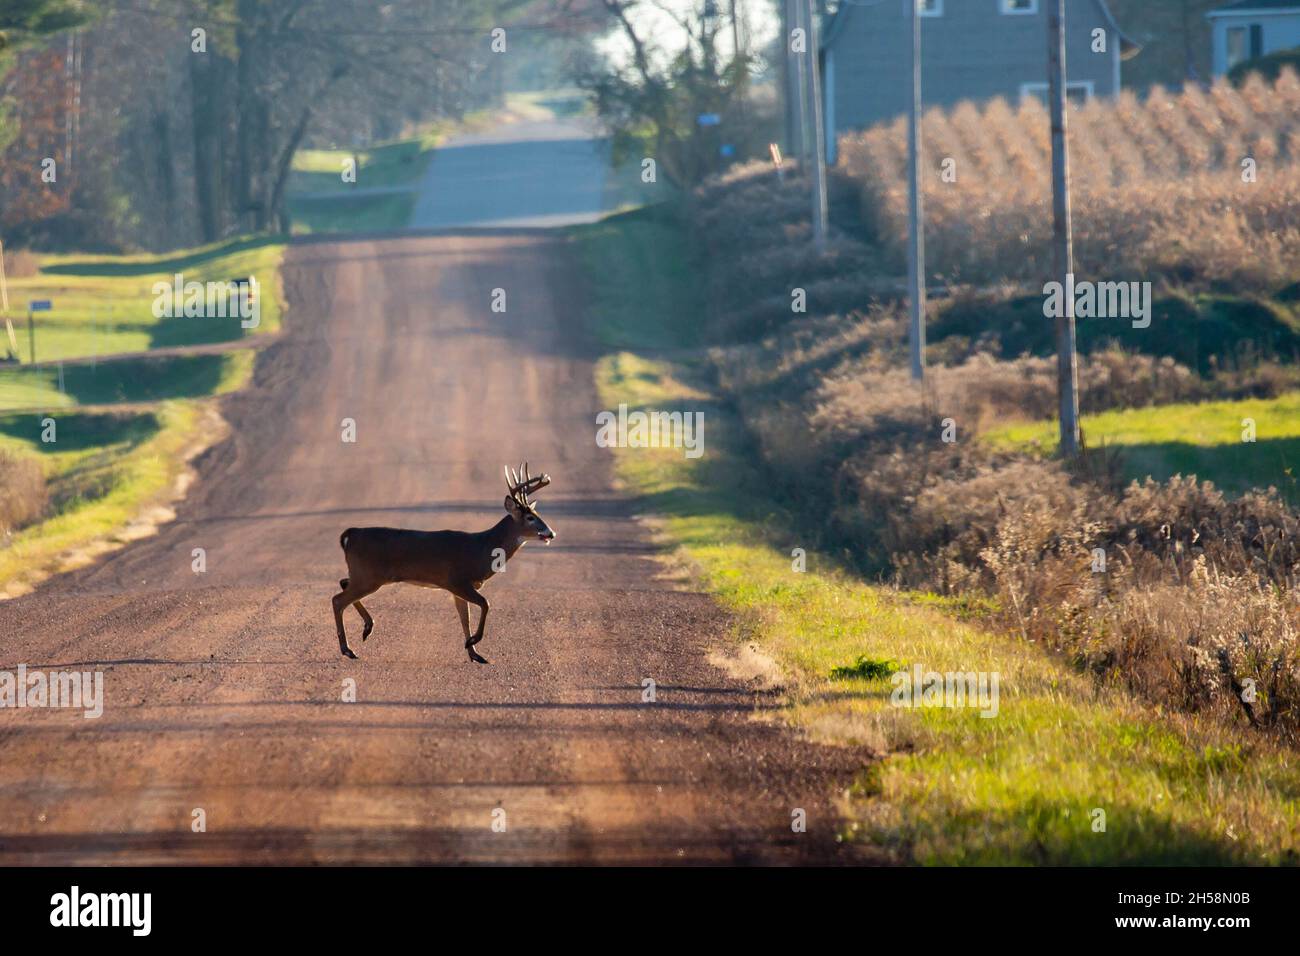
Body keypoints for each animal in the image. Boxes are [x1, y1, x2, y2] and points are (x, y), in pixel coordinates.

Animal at [331, 463, 556, 664]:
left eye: (538, 515)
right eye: (530, 517)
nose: (551, 533)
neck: (482, 548)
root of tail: (350, 535)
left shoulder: (459, 588)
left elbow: (465, 618)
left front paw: (475, 653)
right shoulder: (456, 581)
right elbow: (485, 604)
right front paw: (473, 642)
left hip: (364, 575)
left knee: (343, 583)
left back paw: (367, 628)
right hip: (369, 576)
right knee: (337, 600)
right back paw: (348, 649)